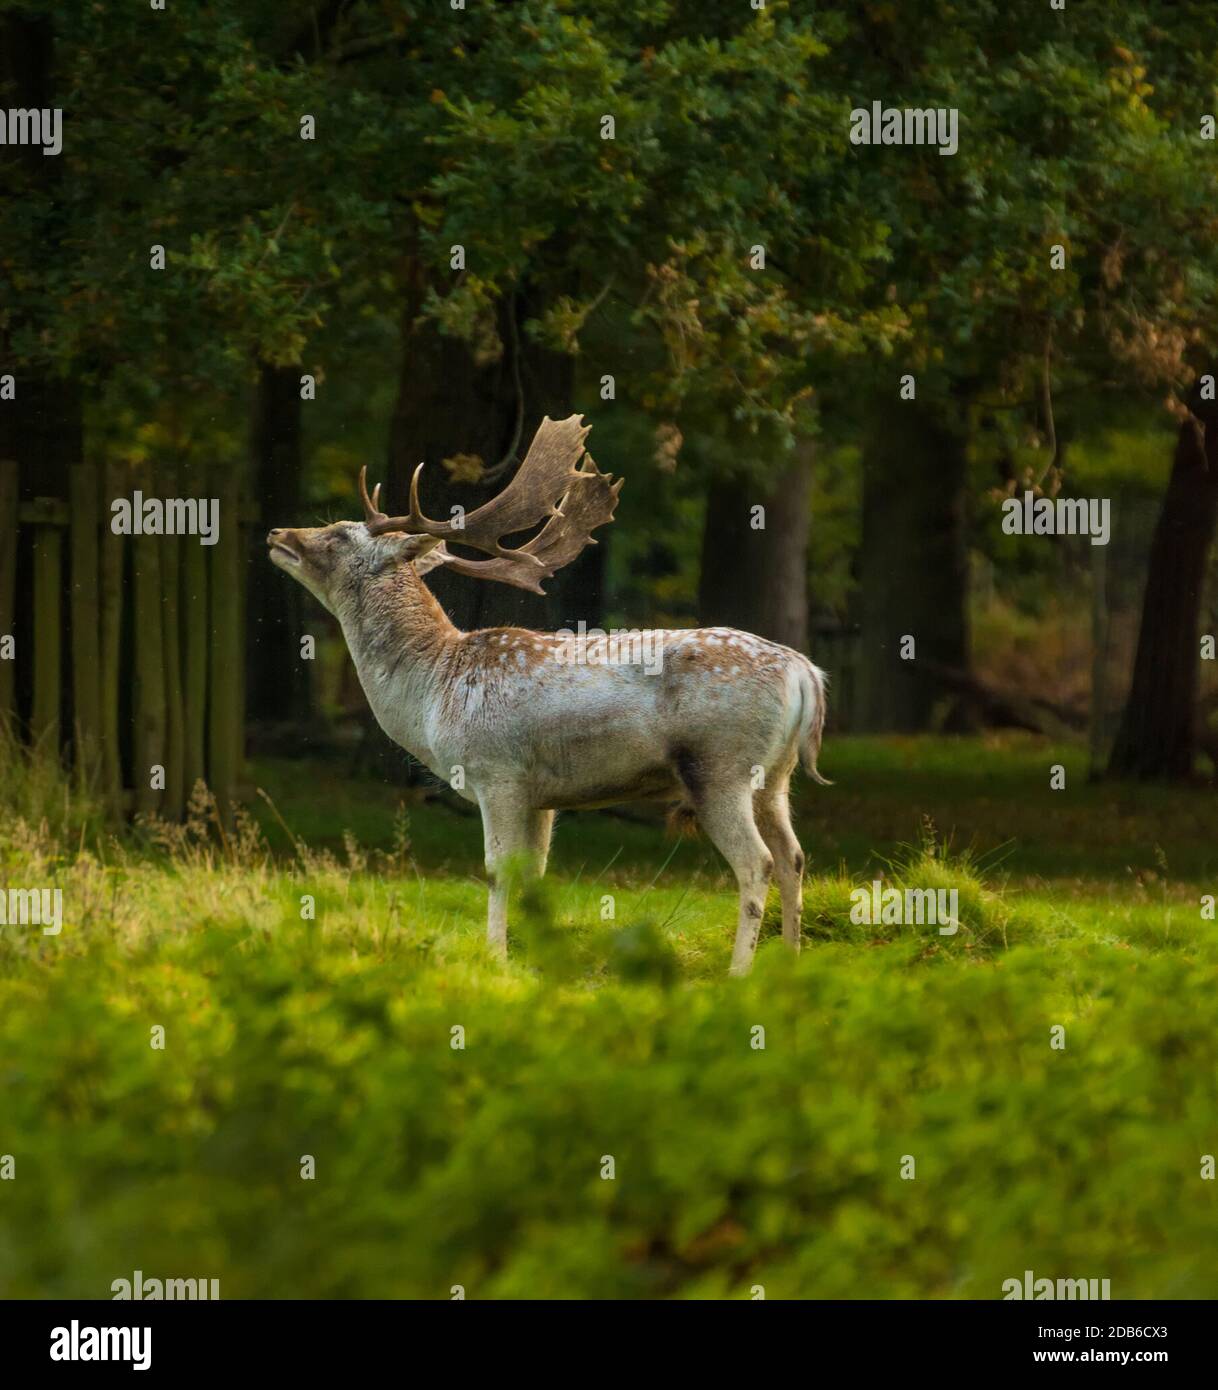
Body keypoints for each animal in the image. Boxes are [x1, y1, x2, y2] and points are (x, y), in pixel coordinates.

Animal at [268, 415, 829, 975]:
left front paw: (495, 955)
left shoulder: (497, 772)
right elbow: (535, 873)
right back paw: (791, 960)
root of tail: (804, 673)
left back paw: (739, 972)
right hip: (776, 777)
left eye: (338, 535)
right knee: (795, 856)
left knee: (757, 862)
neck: (433, 688)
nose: (276, 532)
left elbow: (497, 870)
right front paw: (535, 957)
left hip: (721, 766)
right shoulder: (543, 798)